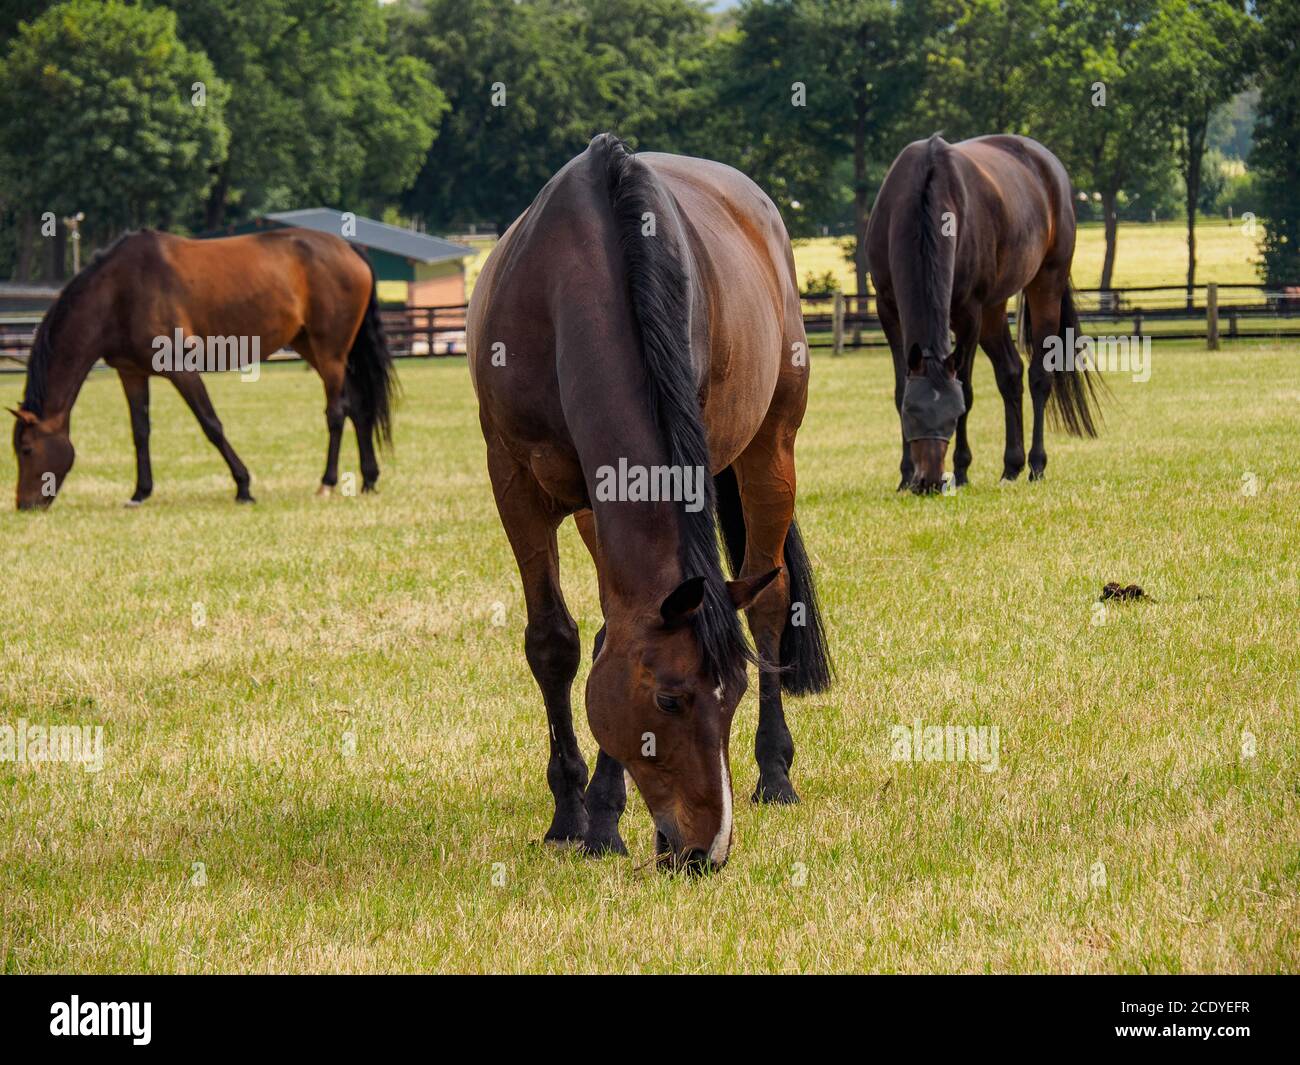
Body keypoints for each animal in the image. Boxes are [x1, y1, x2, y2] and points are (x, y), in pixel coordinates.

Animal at [10, 228, 396, 509]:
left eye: (26, 449)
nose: (25, 505)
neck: (119, 293)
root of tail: (349, 249)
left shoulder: (182, 369)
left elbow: (211, 424)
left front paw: (243, 486)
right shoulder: (131, 373)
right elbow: (140, 432)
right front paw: (140, 492)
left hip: (329, 351)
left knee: (337, 412)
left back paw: (327, 483)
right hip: (315, 348)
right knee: (359, 408)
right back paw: (368, 478)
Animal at [469, 133, 833, 874]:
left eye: (736, 693)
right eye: (669, 698)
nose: (705, 851)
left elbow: (613, 632)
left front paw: (604, 820)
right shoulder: (516, 482)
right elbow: (555, 642)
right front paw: (569, 815)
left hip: (771, 448)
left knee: (772, 603)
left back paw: (775, 772)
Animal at [866, 134, 1103, 492]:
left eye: (953, 416)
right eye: (913, 414)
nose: (929, 482)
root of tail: (1048, 165)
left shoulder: (969, 313)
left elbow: (967, 388)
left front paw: (962, 470)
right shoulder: (888, 310)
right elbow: (899, 389)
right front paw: (905, 475)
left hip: (1045, 282)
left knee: (1039, 376)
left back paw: (1035, 464)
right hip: (994, 309)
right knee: (1010, 373)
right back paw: (1011, 466)